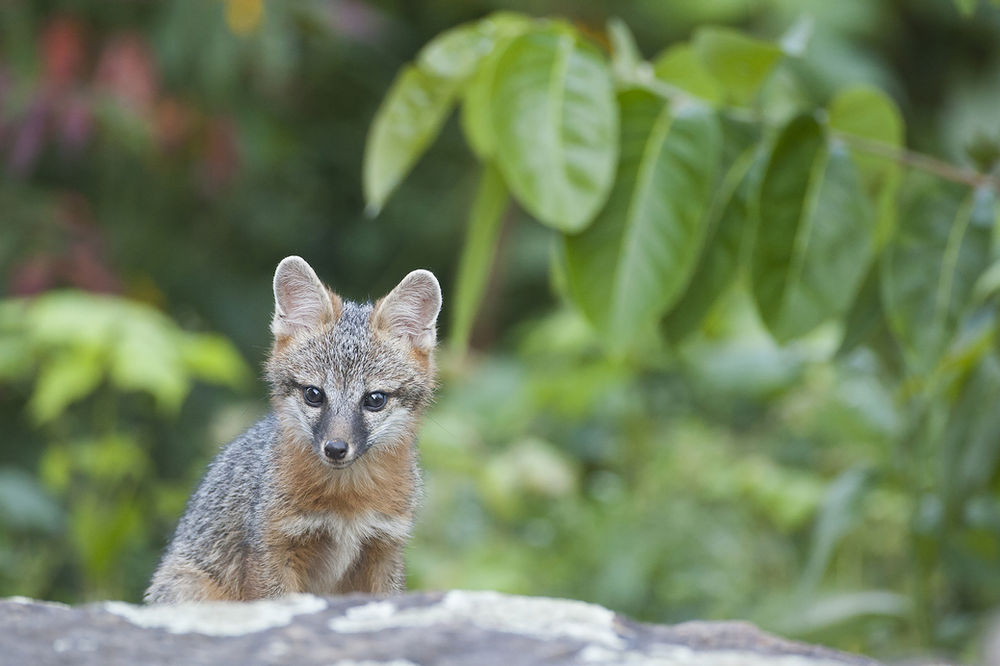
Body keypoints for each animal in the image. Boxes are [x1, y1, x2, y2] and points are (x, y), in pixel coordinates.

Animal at [144, 256, 441, 603]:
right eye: (314, 394)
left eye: (375, 400)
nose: (335, 448)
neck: (347, 503)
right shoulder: (273, 549)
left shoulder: (386, 547)